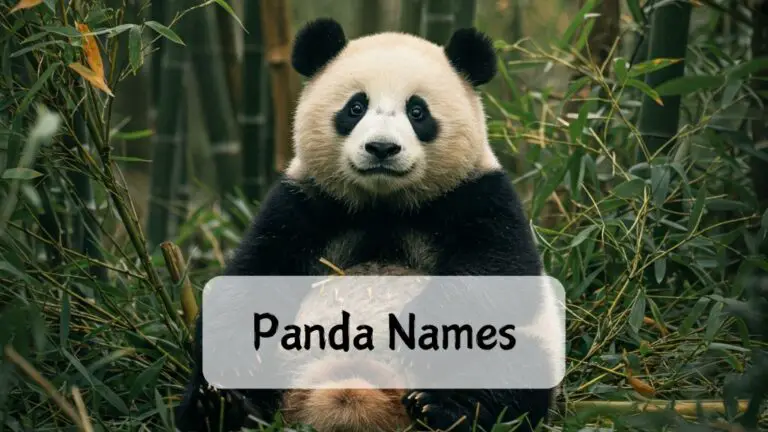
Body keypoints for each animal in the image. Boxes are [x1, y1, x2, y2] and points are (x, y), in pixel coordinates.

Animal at [174, 17, 564, 432]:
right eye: (356, 107)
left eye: (418, 111)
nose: (382, 148)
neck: (385, 204)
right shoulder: (305, 201)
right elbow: (254, 273)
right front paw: (235, 365)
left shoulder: (478, 195)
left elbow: (498, 273)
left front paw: (419, 330)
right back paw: (220, 407)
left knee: (511, 373)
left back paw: (443, 409)